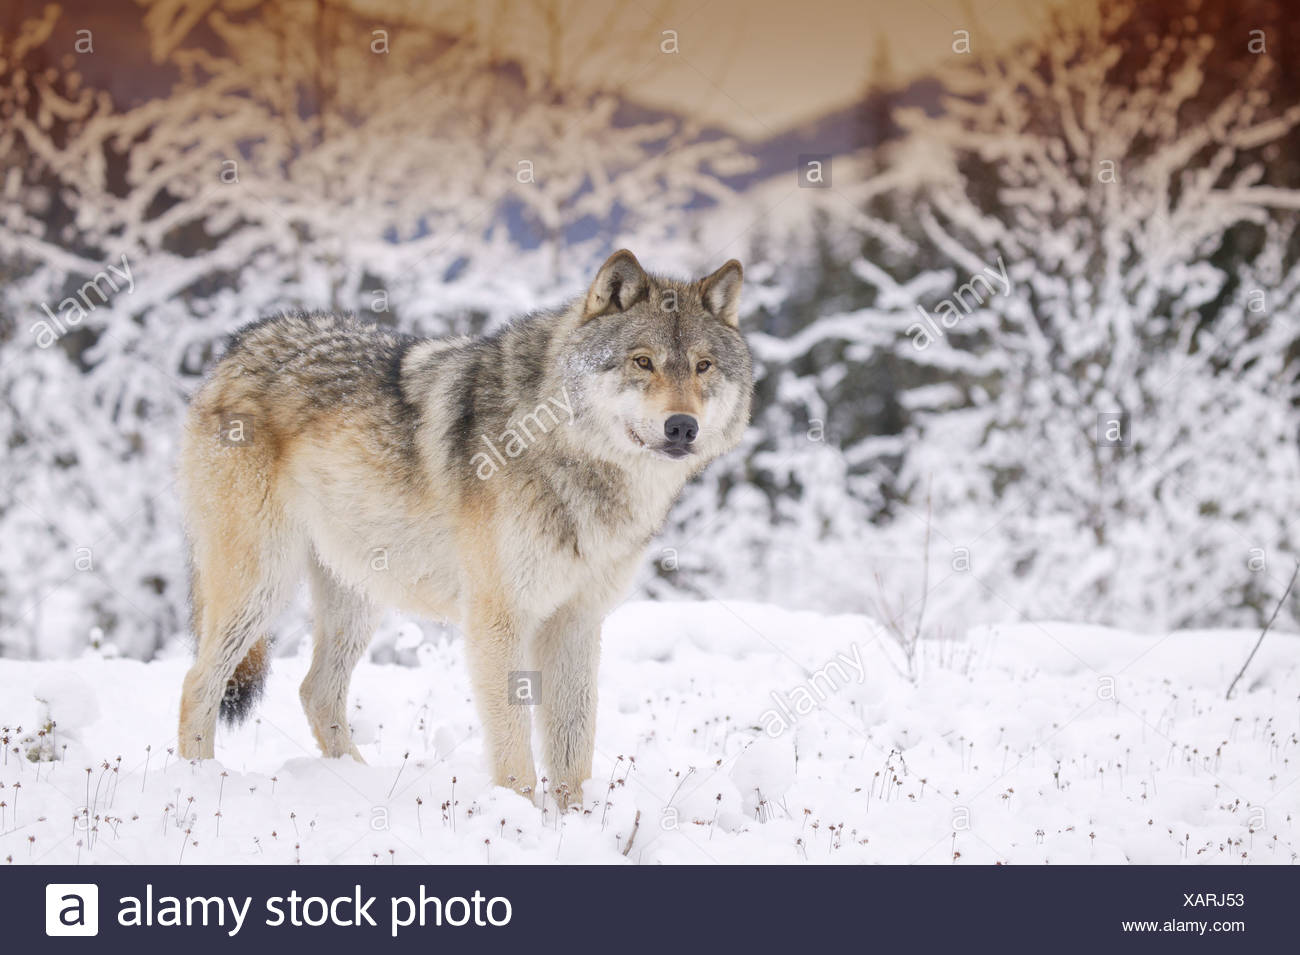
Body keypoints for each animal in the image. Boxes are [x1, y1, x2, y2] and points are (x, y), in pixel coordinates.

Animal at [177, 250, 752, 806]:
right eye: (642, 361)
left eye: (702, 366)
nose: (682, 427)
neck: (572, 460)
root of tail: (240, 344)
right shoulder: (498, 620)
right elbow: (515, 751)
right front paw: (517, 820)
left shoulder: (576, 620)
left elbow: (574, 747)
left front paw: (577, 820)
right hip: (262, 584)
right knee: (198, 681)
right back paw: (200, 786)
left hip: (358, 592)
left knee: (315, 691)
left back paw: (357, 785)